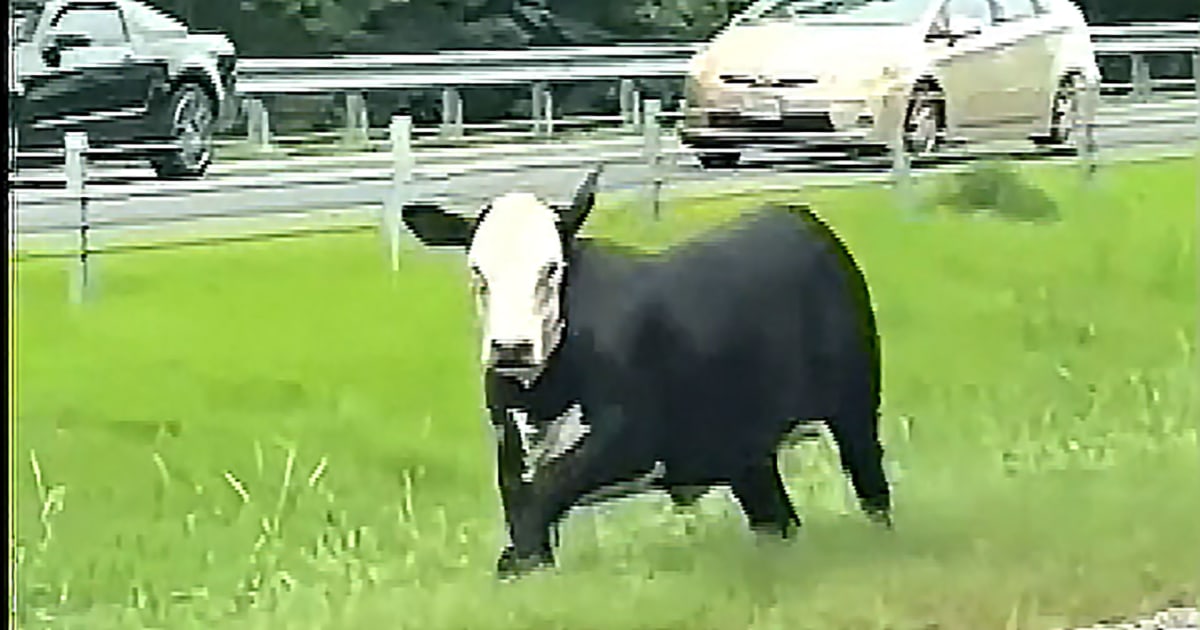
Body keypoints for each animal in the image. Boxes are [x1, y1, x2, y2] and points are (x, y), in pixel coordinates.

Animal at [401, 166, 892, 579]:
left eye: (551, 269)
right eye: (478, 272)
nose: (511, 349)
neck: (540, 395)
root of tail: (793, 215)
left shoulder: (628, 438)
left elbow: (542, 500)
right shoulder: (510, 454)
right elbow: (529, 519)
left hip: (856, 410)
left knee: (872, 489)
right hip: (744, 450)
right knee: (777, 520)